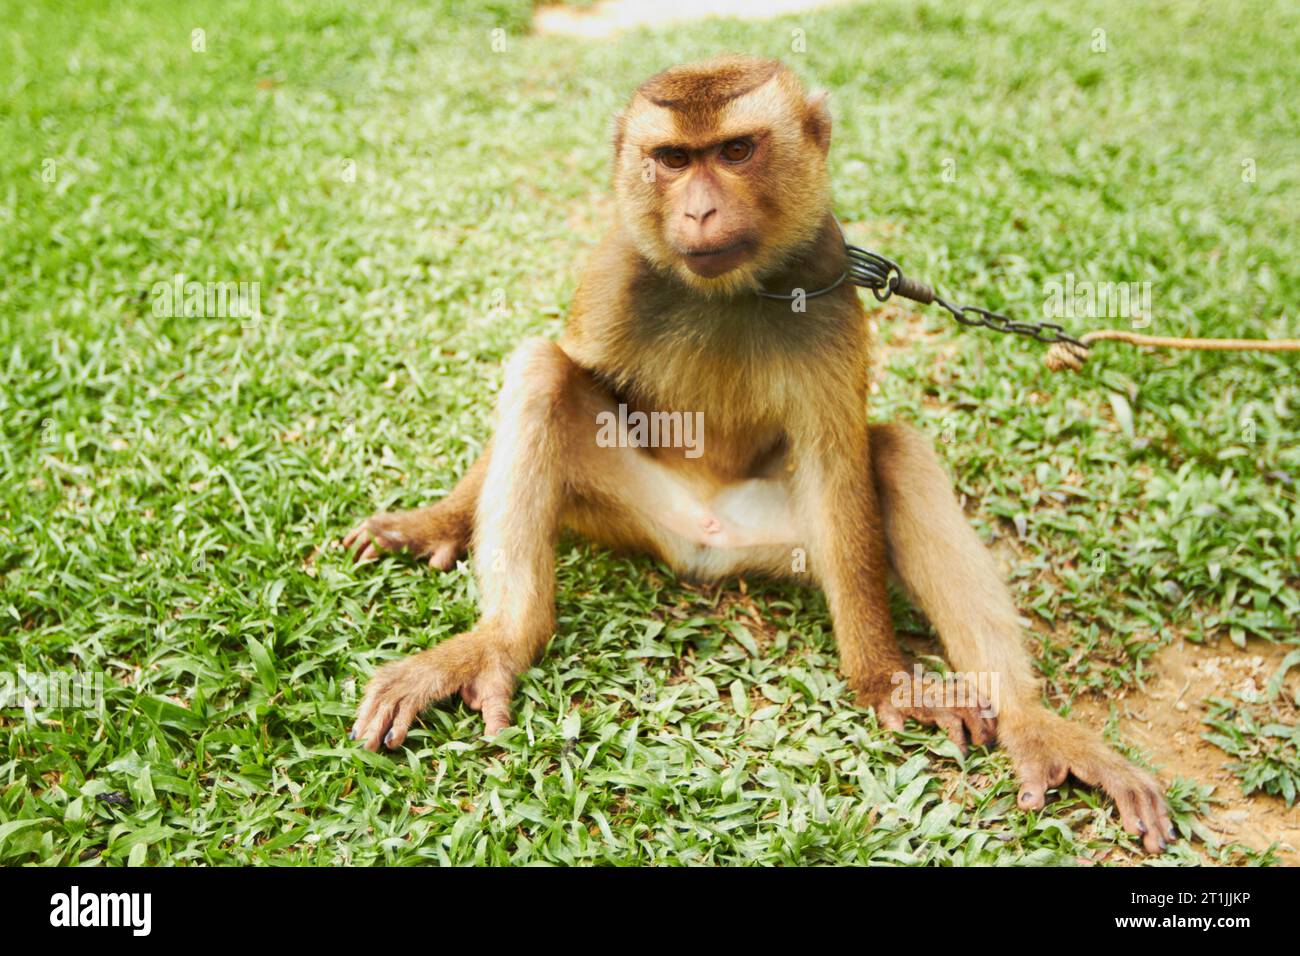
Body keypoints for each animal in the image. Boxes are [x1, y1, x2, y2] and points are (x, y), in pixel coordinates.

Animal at [342, 55, 1174, 853]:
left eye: (737, 151)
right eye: (673, 159)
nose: (700, 210)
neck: (732, 290)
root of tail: (703, 541)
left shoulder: (827, 283)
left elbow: (840, 460)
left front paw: (884, 679)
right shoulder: (616, 273)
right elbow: (567, 361)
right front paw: (436, 522)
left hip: (781, 539)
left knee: (896, 453)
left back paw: (1029, 719)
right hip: (622, 511)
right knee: (544, 373)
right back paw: (500, 642)